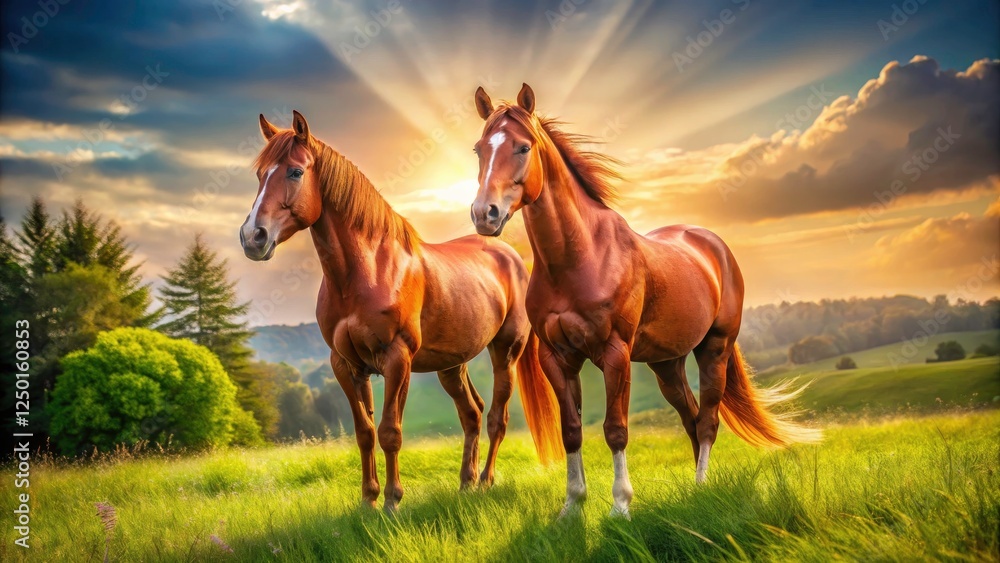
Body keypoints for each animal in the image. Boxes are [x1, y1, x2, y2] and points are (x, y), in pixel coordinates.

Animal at [239, 110, 564, 512]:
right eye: (259, 174)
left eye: (295, 172)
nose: (253, 237)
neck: (369, 271)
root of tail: (512, 257)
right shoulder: (345, 365)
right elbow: (364, 433)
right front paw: (368, 500)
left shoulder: (397, 359)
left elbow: (390, 431)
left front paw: (393, 501)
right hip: (452, 365)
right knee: (471, 415)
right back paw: (466, 483)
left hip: (506, 352)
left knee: (496, 418)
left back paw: (486, 481)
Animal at [468, 84, 821, 518]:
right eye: (479, 149)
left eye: (522, 147)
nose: (485, 214)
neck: (580, 257)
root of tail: (713, 244)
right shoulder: (558, 358)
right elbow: (572, 431)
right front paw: (572, 506)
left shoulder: (615, 353)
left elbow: (615, 430)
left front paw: (620, 506)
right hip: (666, 363)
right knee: (690, 417)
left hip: (715, 349)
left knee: (708, 420)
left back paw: (701, 487)